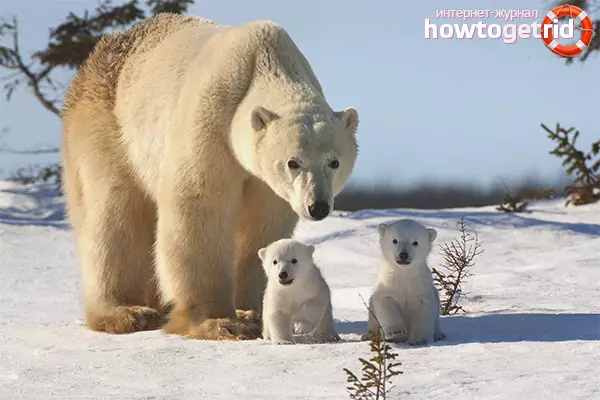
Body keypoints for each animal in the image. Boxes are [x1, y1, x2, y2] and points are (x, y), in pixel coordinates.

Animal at [61, 13, 358, 340]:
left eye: (334, 162)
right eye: (293, 162)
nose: (317, 206)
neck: (266, 61)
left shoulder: (267, 184)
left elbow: (263, 224)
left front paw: (252, 310)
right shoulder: (212, 119)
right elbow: (200, 204)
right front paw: (220, 321)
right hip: (108, 127)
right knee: (114, 214)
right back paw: (126, 312)